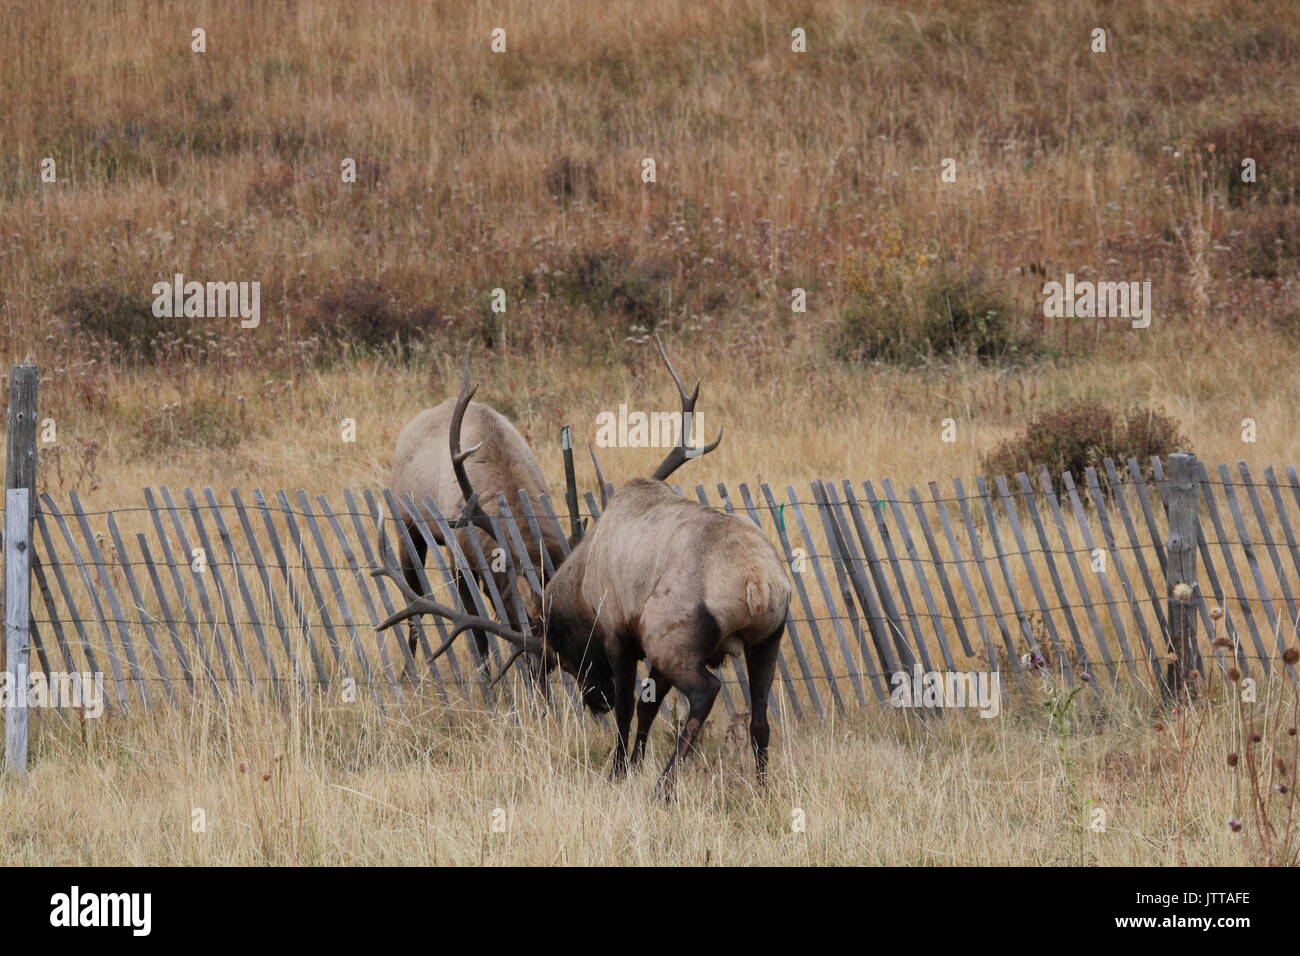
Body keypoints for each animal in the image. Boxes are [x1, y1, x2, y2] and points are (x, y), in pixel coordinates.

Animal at [386, 357, 568, 685]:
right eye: (529, 619)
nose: (543, 668)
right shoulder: (460, 559)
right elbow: (478, 631)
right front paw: (489, 683)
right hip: (407, 527)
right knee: (413, 597)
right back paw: (408, 672)